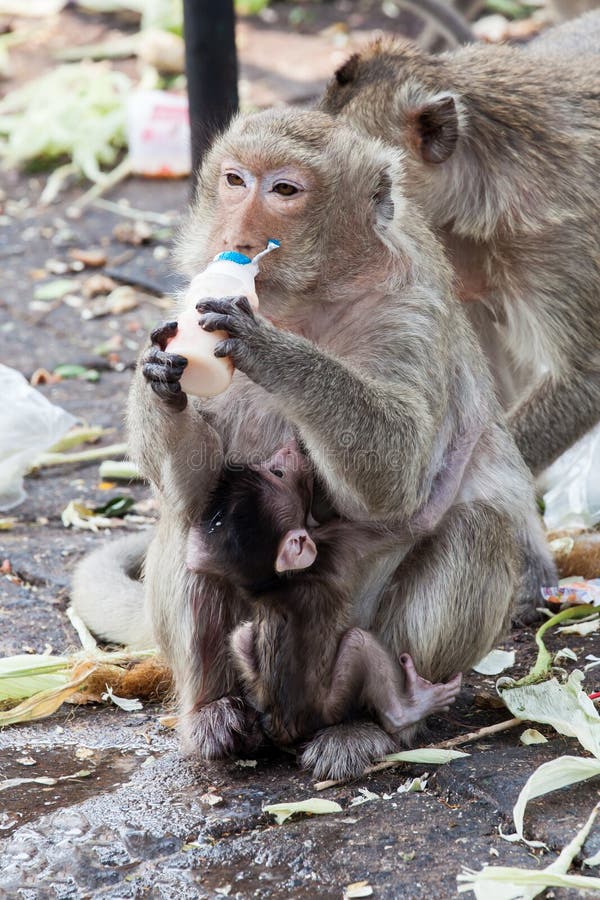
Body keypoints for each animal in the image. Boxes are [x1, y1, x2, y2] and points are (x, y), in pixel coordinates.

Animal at [186, 441, 462, 752]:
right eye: (278, 473)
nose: (290, 446)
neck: (279, 578)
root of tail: (283, 726)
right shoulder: (341, 542)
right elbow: (426, 518)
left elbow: (197, 558)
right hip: (329, 707)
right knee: (358, 643)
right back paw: (409, 709)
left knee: (241, 635)